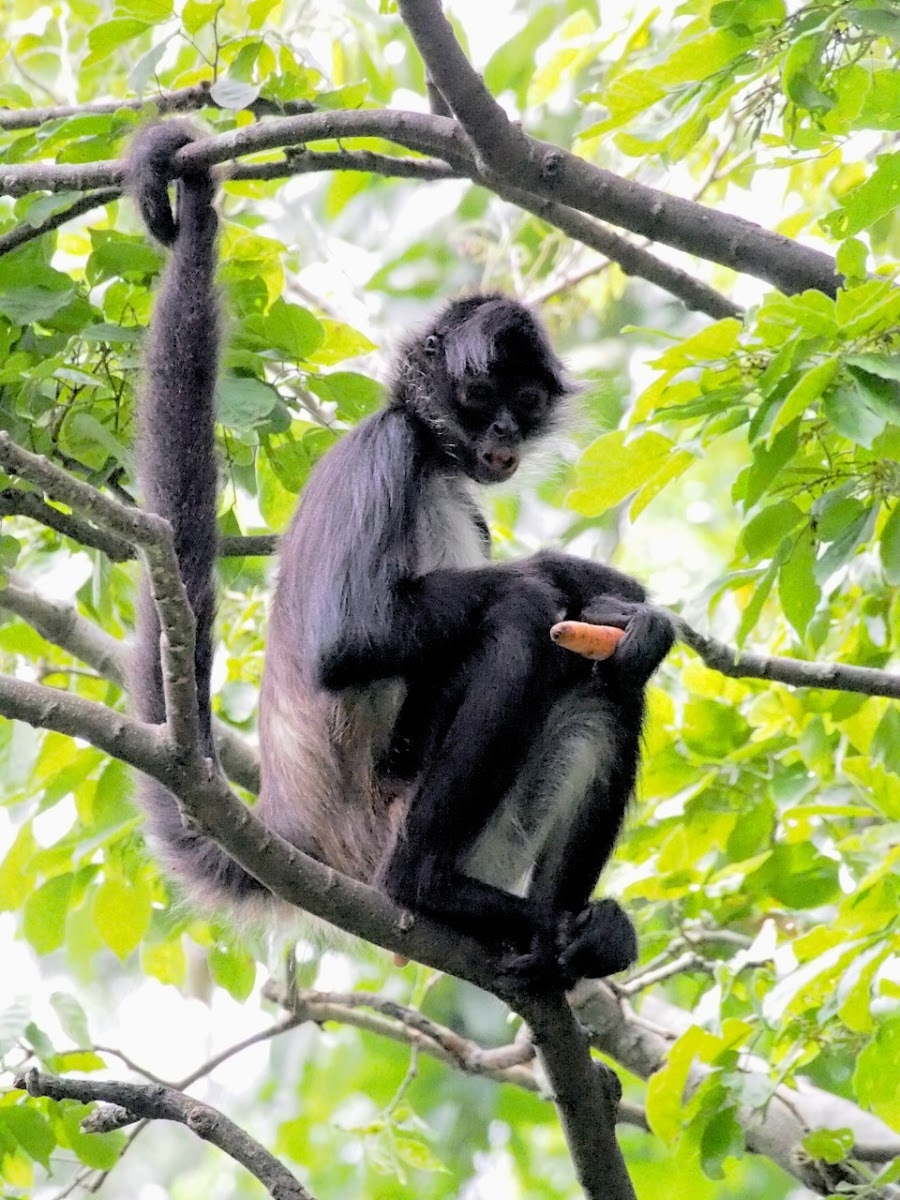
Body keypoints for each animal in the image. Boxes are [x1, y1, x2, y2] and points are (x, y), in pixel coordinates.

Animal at [127, 121, 674, 989]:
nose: (502, 434)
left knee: (610, 684)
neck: (434, 455)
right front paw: (570, 574)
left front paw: (630, 612)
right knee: (518, 623)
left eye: (524, 404)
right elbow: (348, 641)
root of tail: (302, 827)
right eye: (477, 398)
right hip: (388, 805)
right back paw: (426, 885)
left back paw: (563, 942)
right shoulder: (382, 449)